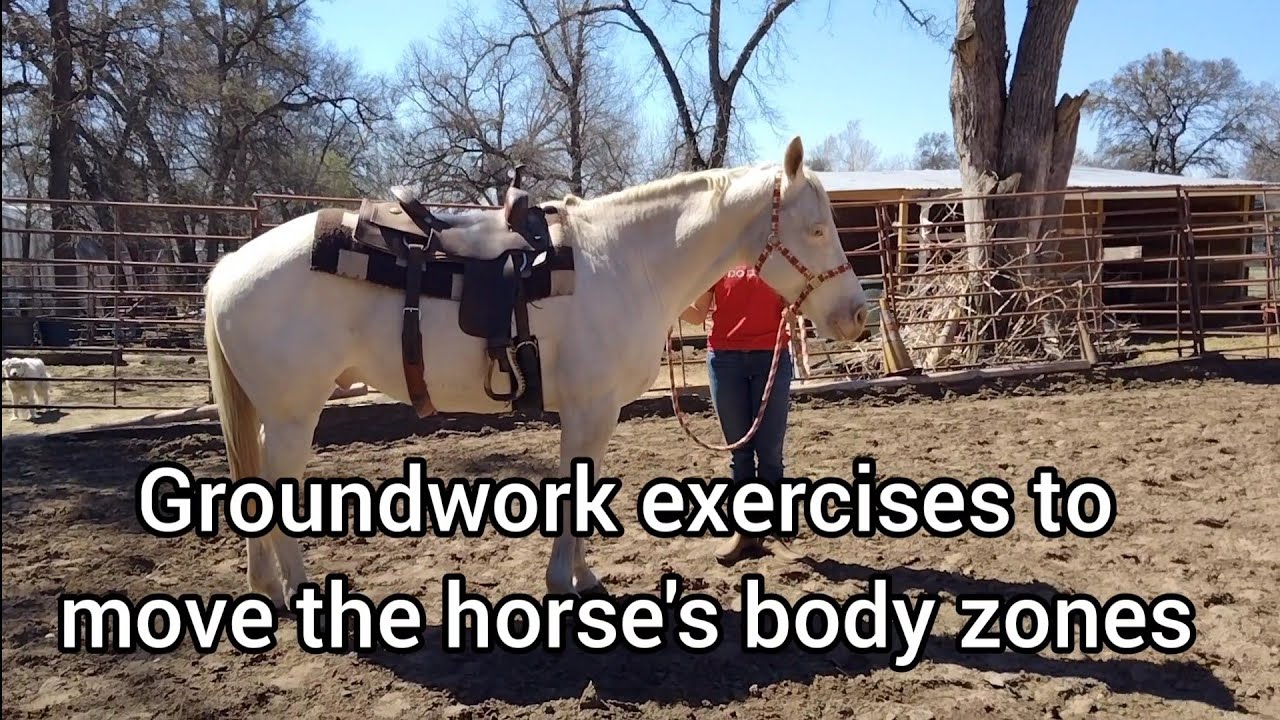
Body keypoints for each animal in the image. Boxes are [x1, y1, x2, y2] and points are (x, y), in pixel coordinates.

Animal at [201, 136, 870, 607]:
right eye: (816, 228)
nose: (857, 315)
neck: (625, 262)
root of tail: (230, 266)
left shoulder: (596, 412)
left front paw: (583, 576)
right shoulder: (590, 408)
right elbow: (577, 492)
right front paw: (563, 582)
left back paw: (268, 587)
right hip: (293, 414)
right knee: (272, 483)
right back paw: (296, 589)